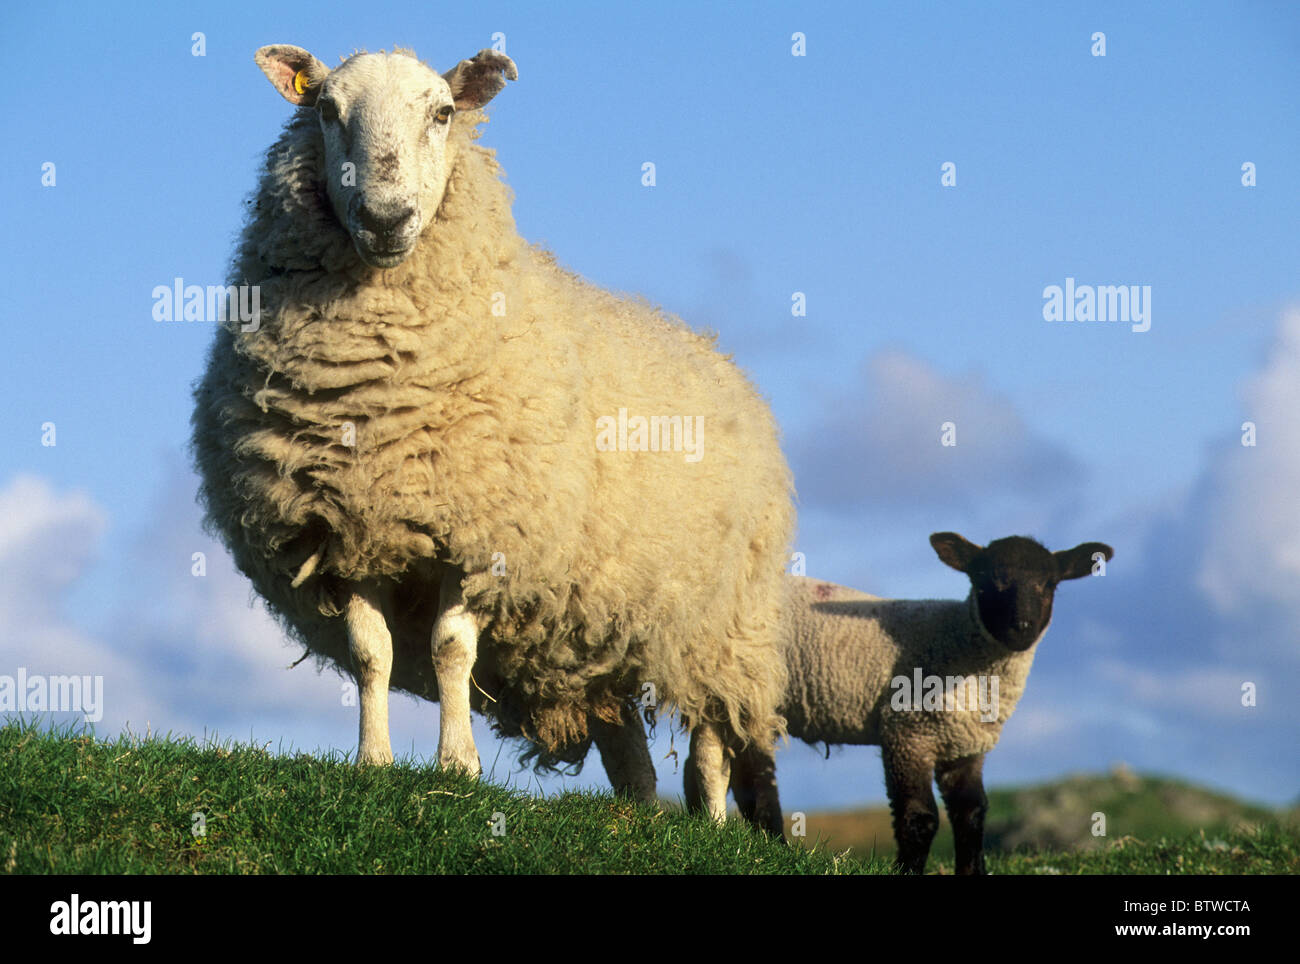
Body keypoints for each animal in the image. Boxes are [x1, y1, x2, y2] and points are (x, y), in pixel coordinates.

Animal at [189, 44, 794, 820]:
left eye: (444, 112)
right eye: (326, 108)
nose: (386, 217)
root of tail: (724, 360)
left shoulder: (485, 535)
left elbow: (450, 649)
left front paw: (458, 765)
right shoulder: (348, 531)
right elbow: (370, 653)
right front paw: (373, 760)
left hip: (717, 625)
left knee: (711, 745)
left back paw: (709, 826)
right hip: (596, 627)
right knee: (626, 744)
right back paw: (634, 817)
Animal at [700, 533, 1113, 871]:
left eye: (1049, 584)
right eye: (987, 580)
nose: (1021, 628)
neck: (957, 644)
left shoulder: (964, 746)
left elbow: (972, 813)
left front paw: (973, 871)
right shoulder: (907, 732)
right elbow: (919, 817)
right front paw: (907, 869)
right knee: (753, 780)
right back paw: (773, 846)